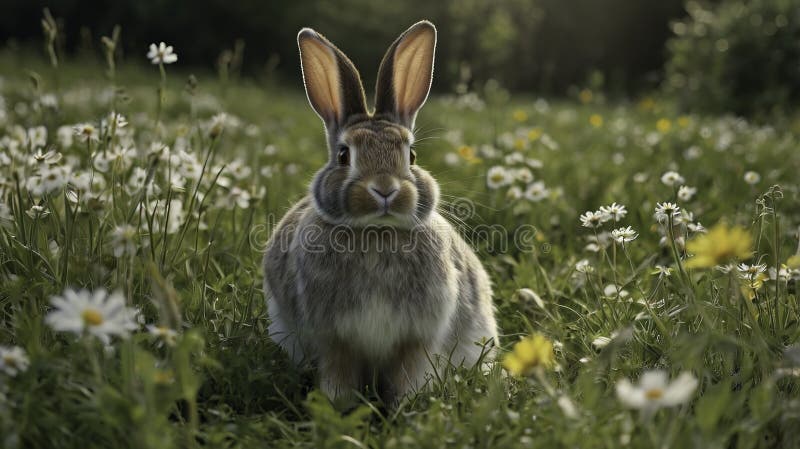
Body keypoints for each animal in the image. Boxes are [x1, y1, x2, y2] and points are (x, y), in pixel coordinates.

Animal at [263, 20, 499, 405]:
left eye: (412, 156)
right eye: (344, 155)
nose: (385, 189)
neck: (377, 233)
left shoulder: (415, 340)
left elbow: (407, 374)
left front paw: (407, 405)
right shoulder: (335, 340)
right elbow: (339, 374)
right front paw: (336, 404)